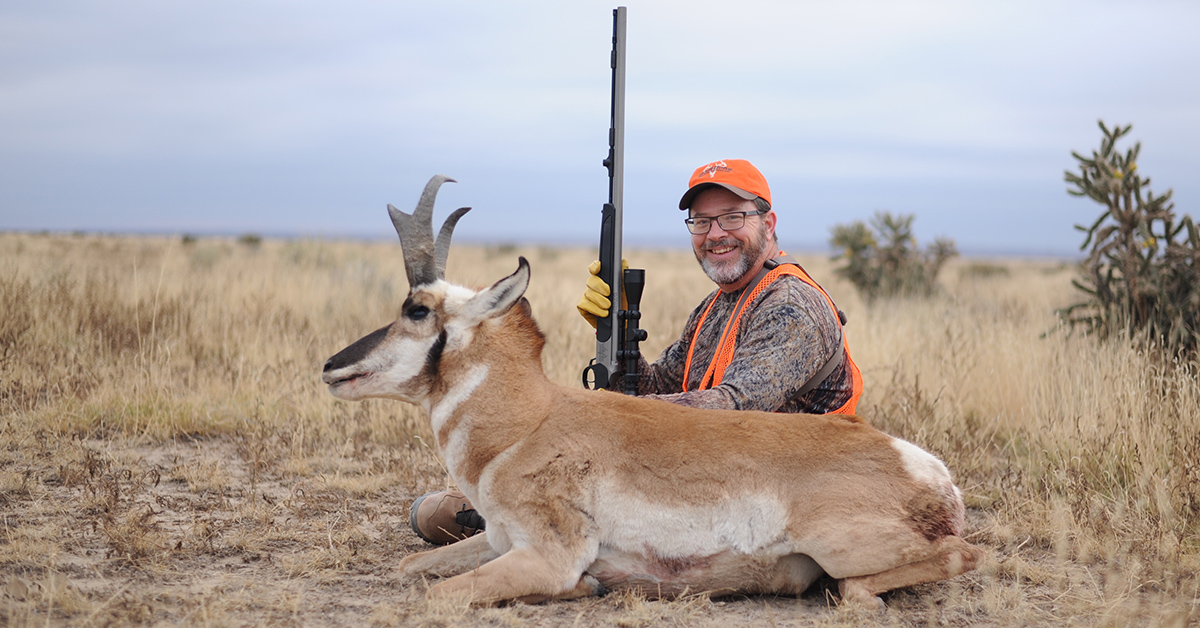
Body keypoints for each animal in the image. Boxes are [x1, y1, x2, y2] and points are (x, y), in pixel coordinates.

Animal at [321, 175, 983, 606]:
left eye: (415, 309)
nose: (330, 366)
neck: (529, 424)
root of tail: (929, 471)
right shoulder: (496, 540)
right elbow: (409, 565)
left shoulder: (547, 556)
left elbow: (433, 597)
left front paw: (585, 586)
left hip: (844, 547)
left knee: (952, 560)